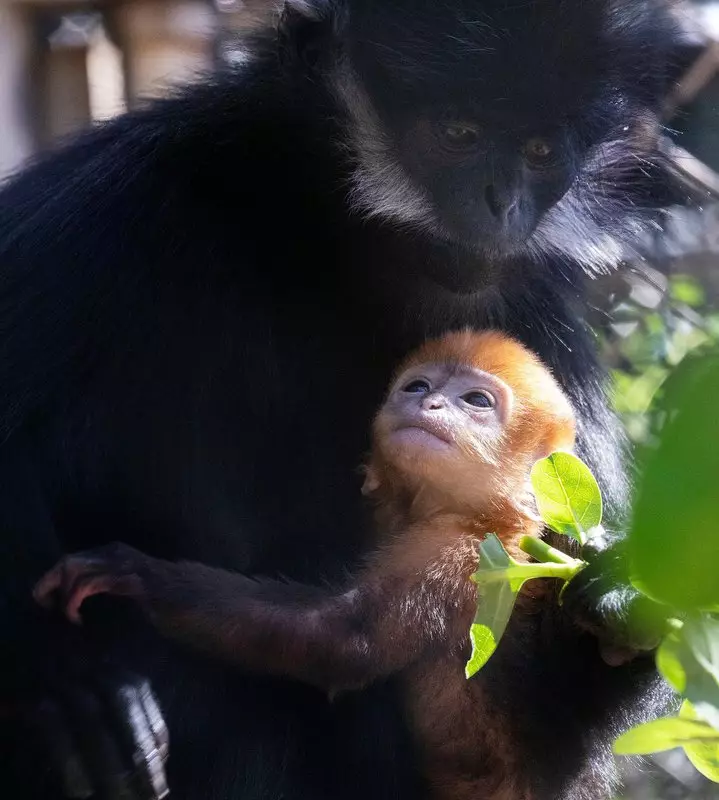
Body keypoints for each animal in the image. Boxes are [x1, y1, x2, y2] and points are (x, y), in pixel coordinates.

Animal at [36, 332, 580, 800]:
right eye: (418, 386)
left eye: (477, 401)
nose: (428, 404)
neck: (469, 513)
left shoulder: (459, 554)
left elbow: (342, 639)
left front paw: (137, 574)